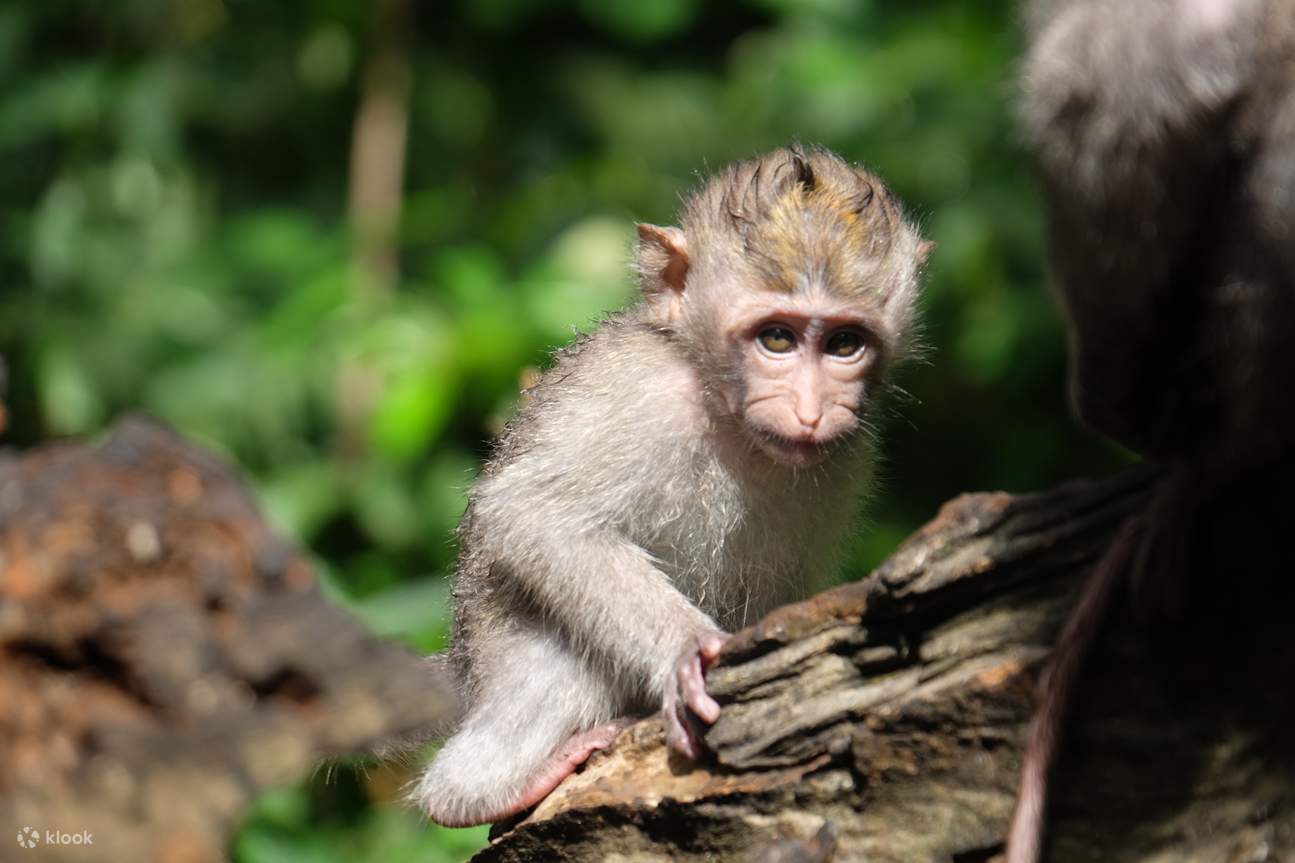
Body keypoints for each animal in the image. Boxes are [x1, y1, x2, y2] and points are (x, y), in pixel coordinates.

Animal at [410, 146, 933, 828]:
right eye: (777, 337)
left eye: (845, 343)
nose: (811, 412)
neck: (722, 408)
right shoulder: (641, 398)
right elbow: (531, 516)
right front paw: (686, 649)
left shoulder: (847, 461)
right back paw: (475, 793)